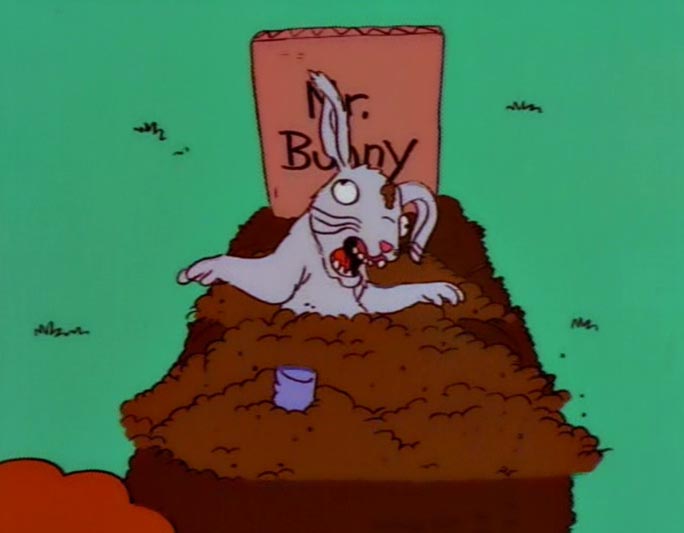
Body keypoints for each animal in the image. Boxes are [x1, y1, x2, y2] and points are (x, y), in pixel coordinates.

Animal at [177, 71, 464, 317]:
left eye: (403, 224)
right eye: (345, 192)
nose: (387, 246)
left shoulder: (366, 297)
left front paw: (437, 290)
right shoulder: (285, 272)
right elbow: (270, 284)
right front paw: (203, 268)